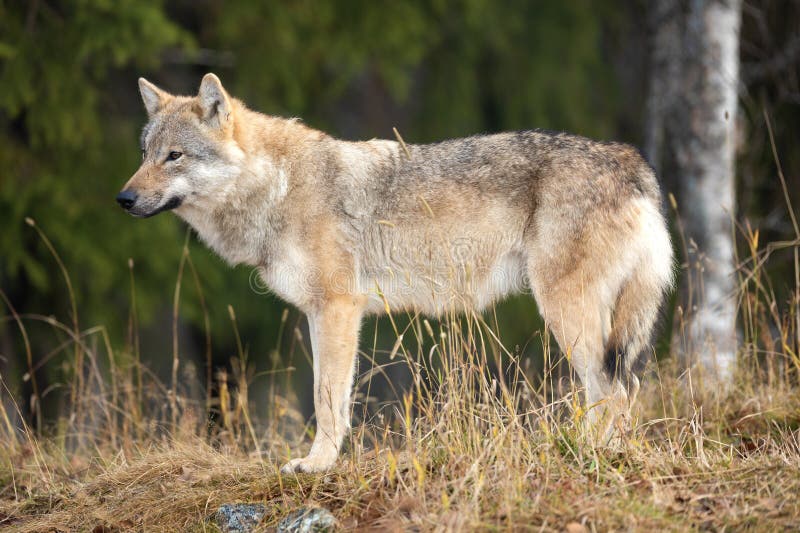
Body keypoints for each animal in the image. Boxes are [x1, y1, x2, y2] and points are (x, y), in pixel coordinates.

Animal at [118, 73, 674, 473]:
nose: (123, 198)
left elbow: (327, 400)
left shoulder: (338, 309)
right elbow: (330, 397)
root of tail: (632, 162)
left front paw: (317, 465)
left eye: (174, 156)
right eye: (145, 155)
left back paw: (592, 455)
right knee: (617, 390)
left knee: (614, 391)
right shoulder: (323, 314)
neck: (278, 187)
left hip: (568, 315)